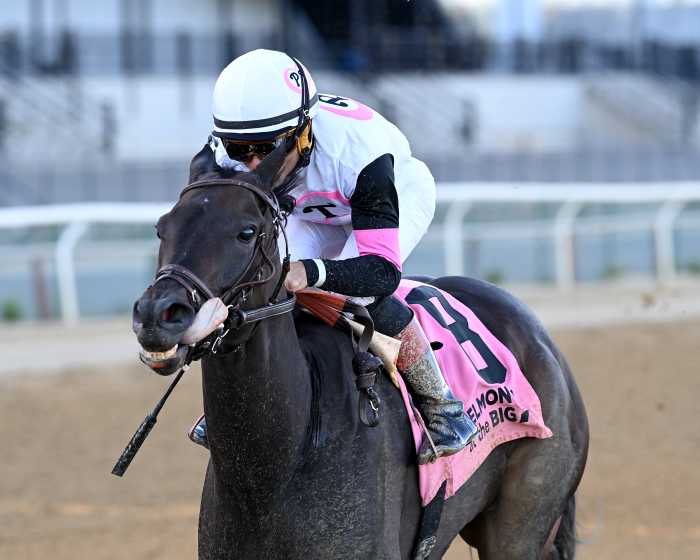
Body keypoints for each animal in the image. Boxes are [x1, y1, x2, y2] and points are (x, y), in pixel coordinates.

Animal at [131, 143, 589, 559]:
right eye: (161, 228)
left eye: (245, 231)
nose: (157, 313)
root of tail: (541, 338)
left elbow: (381, 272)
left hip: (521, 523)